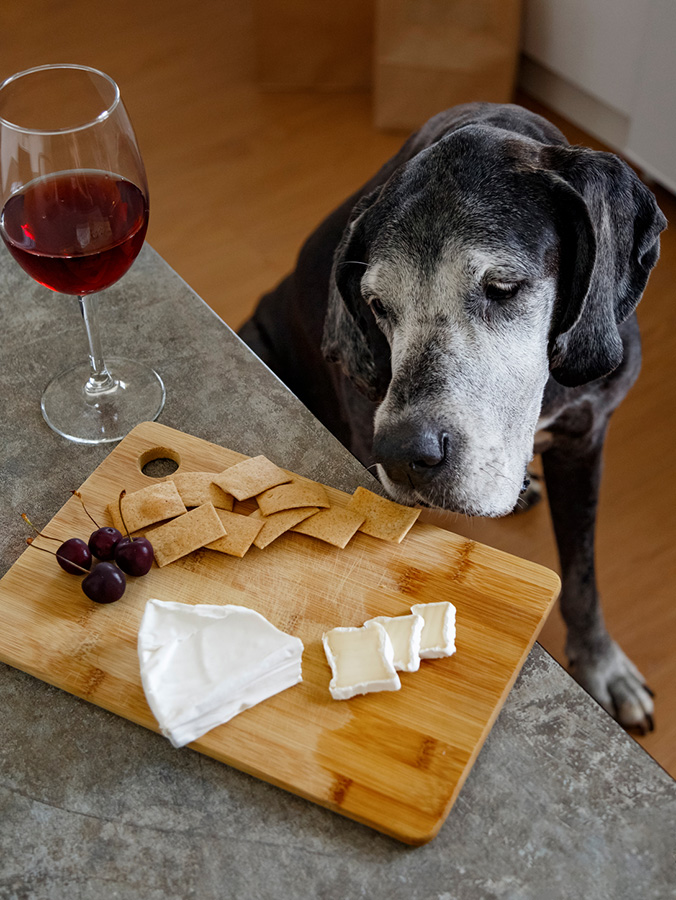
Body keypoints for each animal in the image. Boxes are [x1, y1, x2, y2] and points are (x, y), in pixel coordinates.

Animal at [239, 102, 664, 732]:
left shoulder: (586, 436)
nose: (401, 454)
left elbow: (583, 573)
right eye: (376, 305)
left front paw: (601, 665)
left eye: (503, 286)